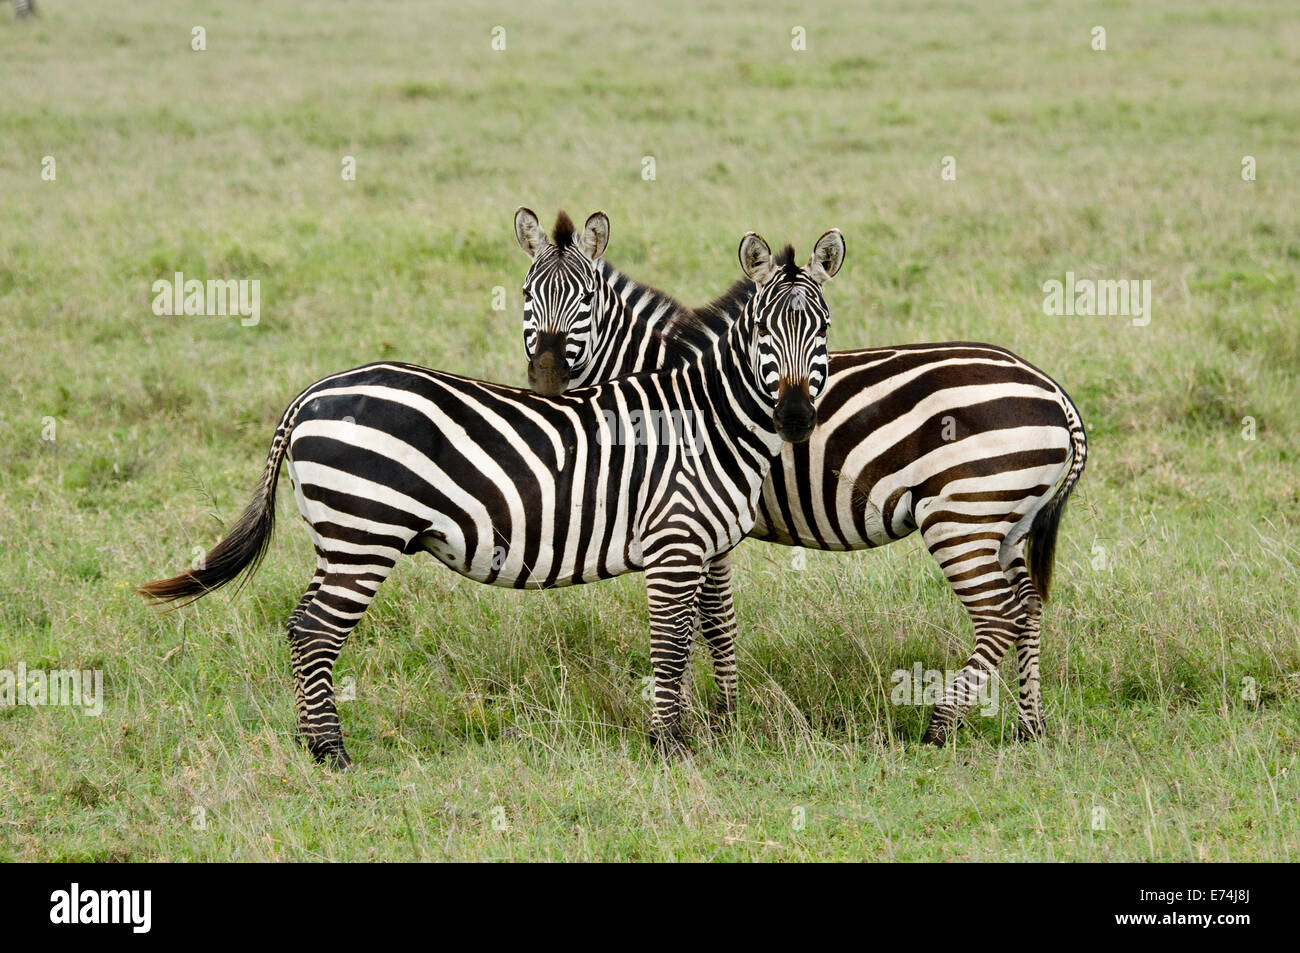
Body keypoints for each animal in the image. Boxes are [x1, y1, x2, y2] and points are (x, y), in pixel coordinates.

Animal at [138, 226, 844, 768]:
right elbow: (670, 645)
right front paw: (669, 746)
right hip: (365, 534)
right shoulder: (676, 540)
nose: (796, 419)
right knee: (314, 629)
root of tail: (311, 395)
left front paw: (716, 727)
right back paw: (332, 754)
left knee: (300, 624)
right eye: (762, 333)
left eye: (823, 329)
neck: (706, 418)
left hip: (340, 538)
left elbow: (715, 629)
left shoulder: (707, 545)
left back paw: (311, 743)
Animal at [513, 208, 1087, 746]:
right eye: (526, 293)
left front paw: (720, 718)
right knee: (1028, 604)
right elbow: (700, 619)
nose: (548, 377)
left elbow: (711, 618)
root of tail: (1051, 388)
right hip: (1006, 518)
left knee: (998, 613)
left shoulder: (697, 513)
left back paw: (941, 727)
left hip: (963, 515)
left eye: (587, 298)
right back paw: (1029, 725)